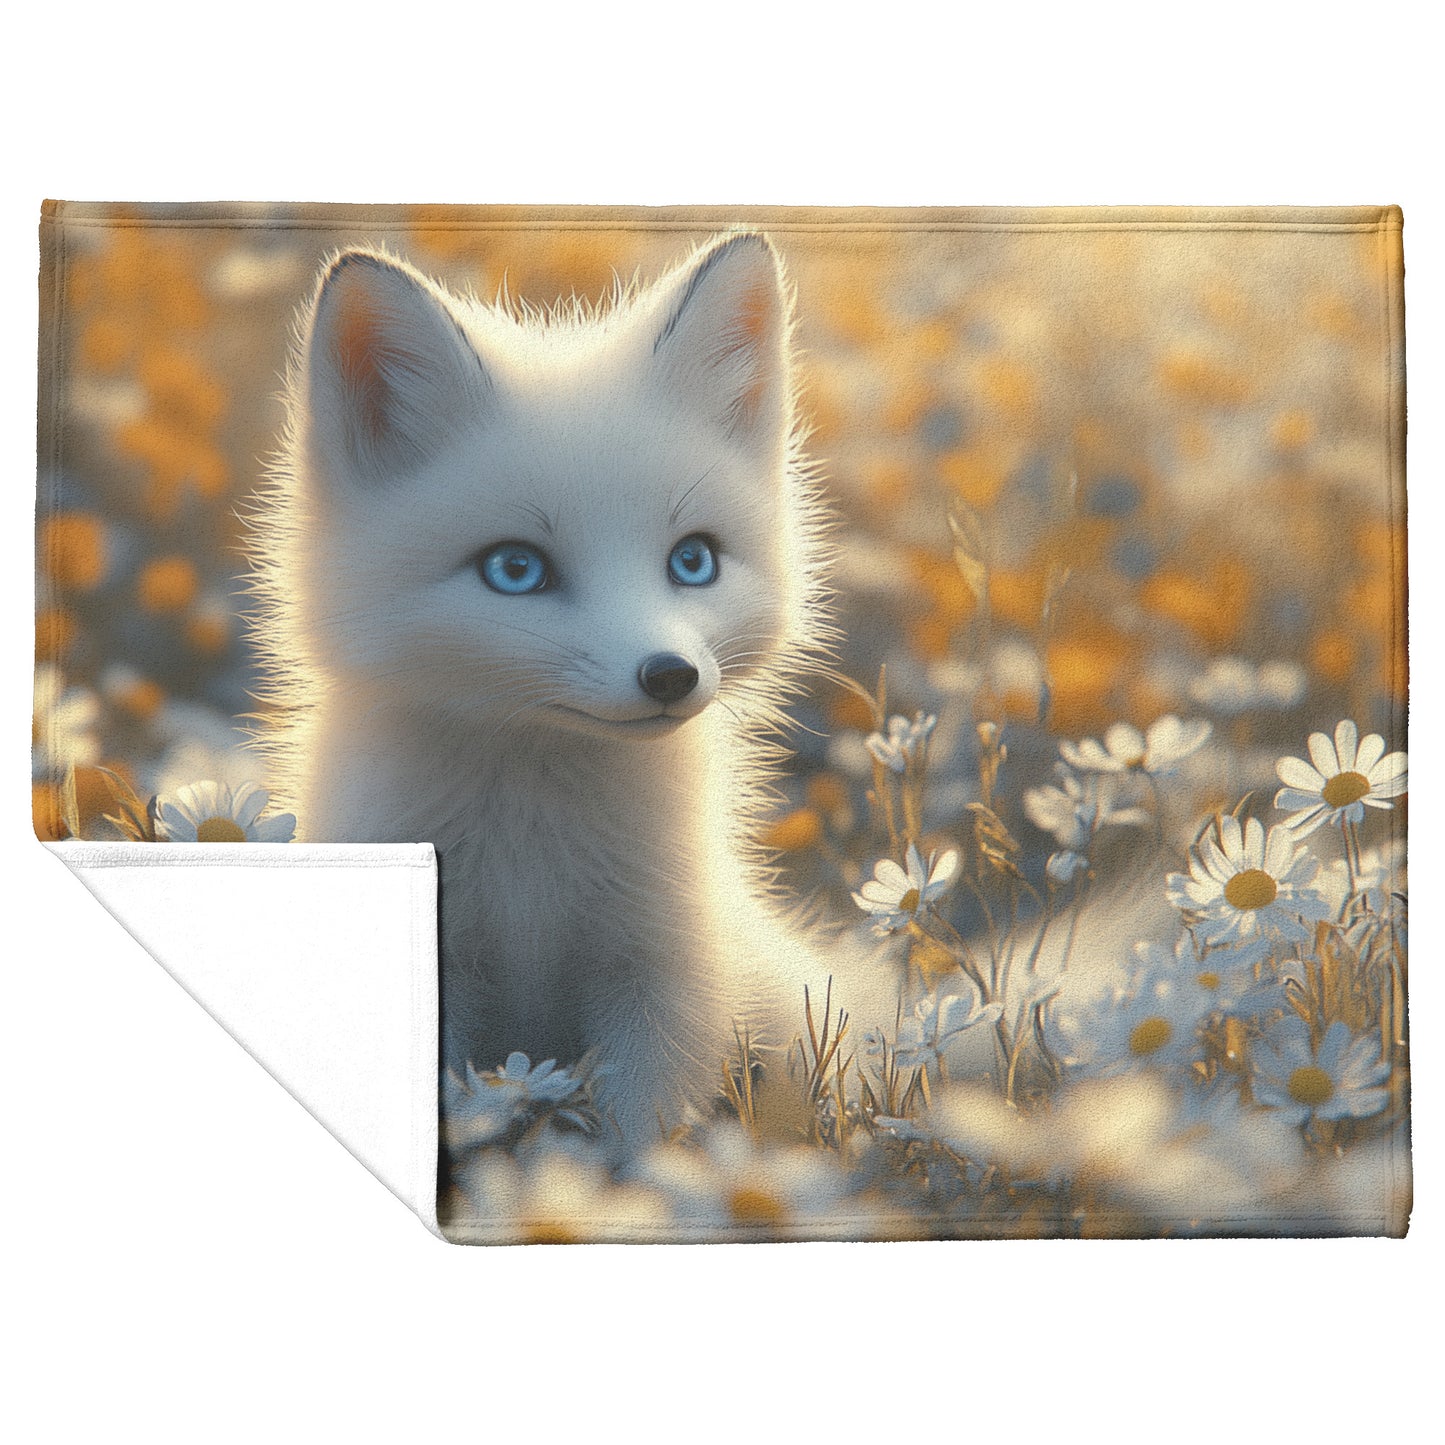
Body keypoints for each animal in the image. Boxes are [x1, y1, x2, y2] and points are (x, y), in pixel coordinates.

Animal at [249, 231, 867, 1145]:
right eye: (515, 569)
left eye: (693, 560)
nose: (670, 674)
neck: (530, 864)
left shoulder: (659, 978)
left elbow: (644, 1144)